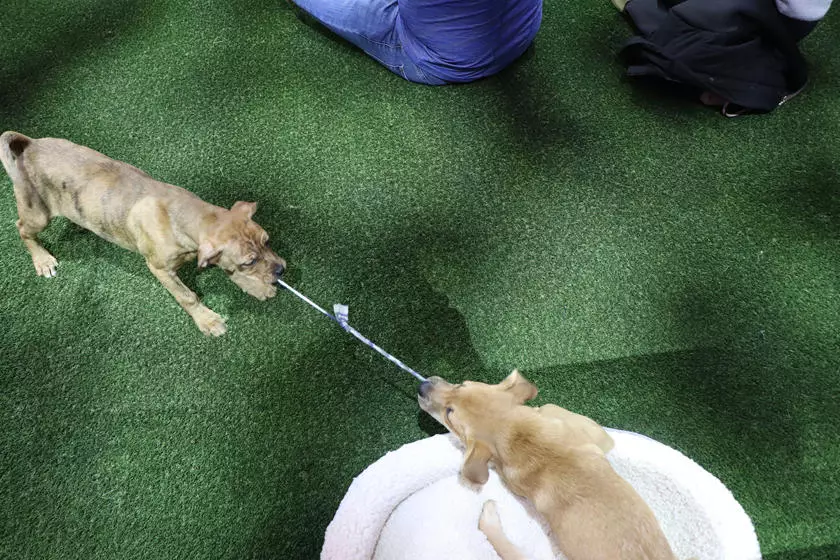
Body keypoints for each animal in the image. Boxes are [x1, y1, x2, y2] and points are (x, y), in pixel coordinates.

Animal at [0, 131, 286, 332]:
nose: (282, 270)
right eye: (249, 261)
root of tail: (31, 145)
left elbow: (229, 272)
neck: (181, 216)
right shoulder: (159, 269)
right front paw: (208, 321)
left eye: (268, 241)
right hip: (37, 214)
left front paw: (257, 287)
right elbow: (188, 297)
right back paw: (42, 260)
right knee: (22, 229)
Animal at [416, 372, 680, 560]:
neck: (518, 434)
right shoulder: (598, 435)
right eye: (460, 385)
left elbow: (548, 406)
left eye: (449, 413)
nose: (421, 387)